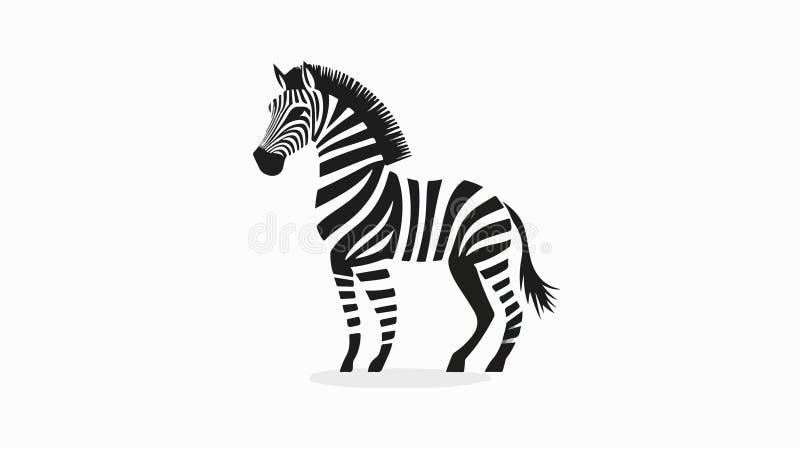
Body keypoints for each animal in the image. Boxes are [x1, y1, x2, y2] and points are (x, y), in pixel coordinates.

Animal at [254, 63, 556, 372]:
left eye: (299, 112)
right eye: (270, 108)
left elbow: (387, 310)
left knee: (513, 309)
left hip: (489, 257)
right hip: (462, 262)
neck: (356, 182)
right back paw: (457, 361)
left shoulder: (369, 259)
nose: (262, 162)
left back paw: (495, 365)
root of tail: (500, 201)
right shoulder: (337, 259)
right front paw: (348, 365)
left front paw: (376, 364)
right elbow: (353, 317)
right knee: (486, 312)